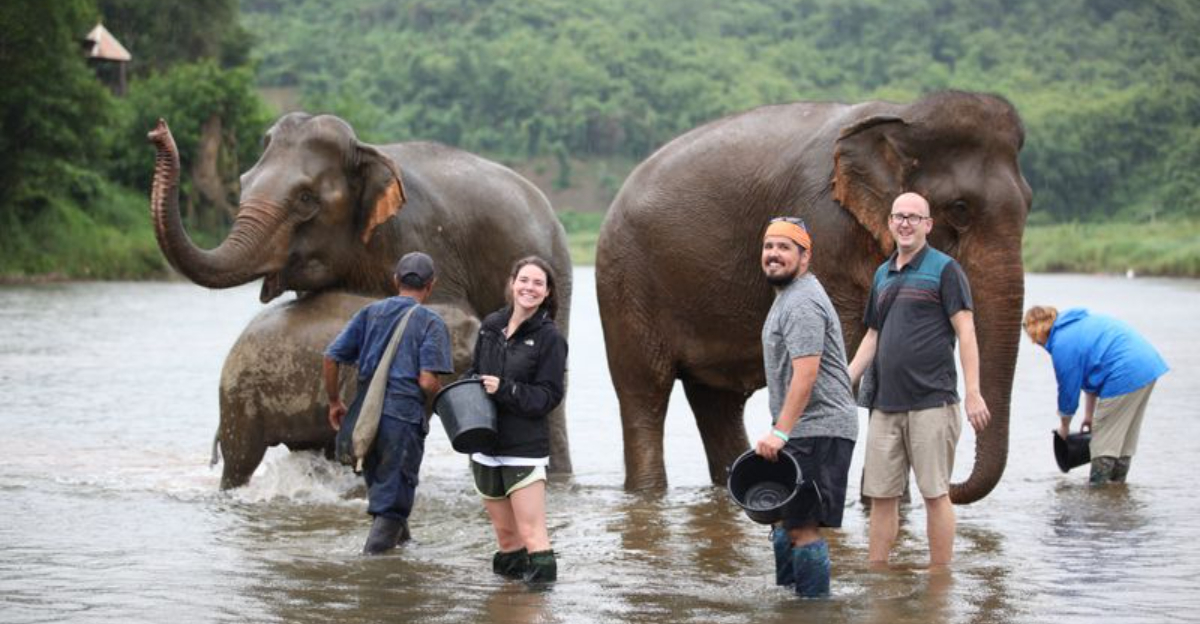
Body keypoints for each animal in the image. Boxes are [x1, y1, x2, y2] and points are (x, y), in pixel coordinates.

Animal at [148, 113, 573, 487]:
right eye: (242, 182)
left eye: (306, 198)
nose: (158, 130)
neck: (365, 153)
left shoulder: (423, 241)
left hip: (557, 273)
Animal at [596, 90, 1031, 503]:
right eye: (959, 209)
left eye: (1029, 205)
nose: (952, 486)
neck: (903, 115)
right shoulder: (825, 228)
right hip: (625, 280)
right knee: (645, 391)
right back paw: (649, 491)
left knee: (717, 402)